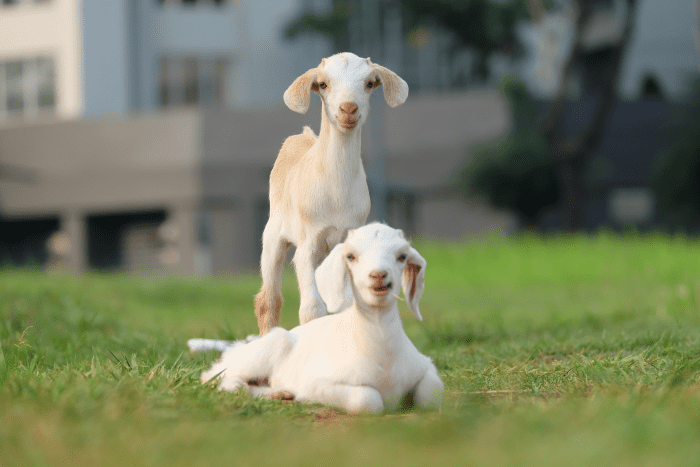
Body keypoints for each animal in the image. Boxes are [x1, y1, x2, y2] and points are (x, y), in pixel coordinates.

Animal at [200, 223, 443, 414]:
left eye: (402, 256)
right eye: (351, 256)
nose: (378, 276)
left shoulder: (425, 365)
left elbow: (432, 394)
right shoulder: (318, 382)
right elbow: (368, 400)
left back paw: (280, 393)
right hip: (262, 351)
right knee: (217, 377)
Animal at [254, 52, 409, 335]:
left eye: (369, 83)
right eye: (323, 84)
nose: (348, 109)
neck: (336, 193)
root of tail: (302, 136)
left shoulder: (346, 243)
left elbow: (346, 306)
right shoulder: (308, 241)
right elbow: (311, 309)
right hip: (273, 236)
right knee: (269, 299)